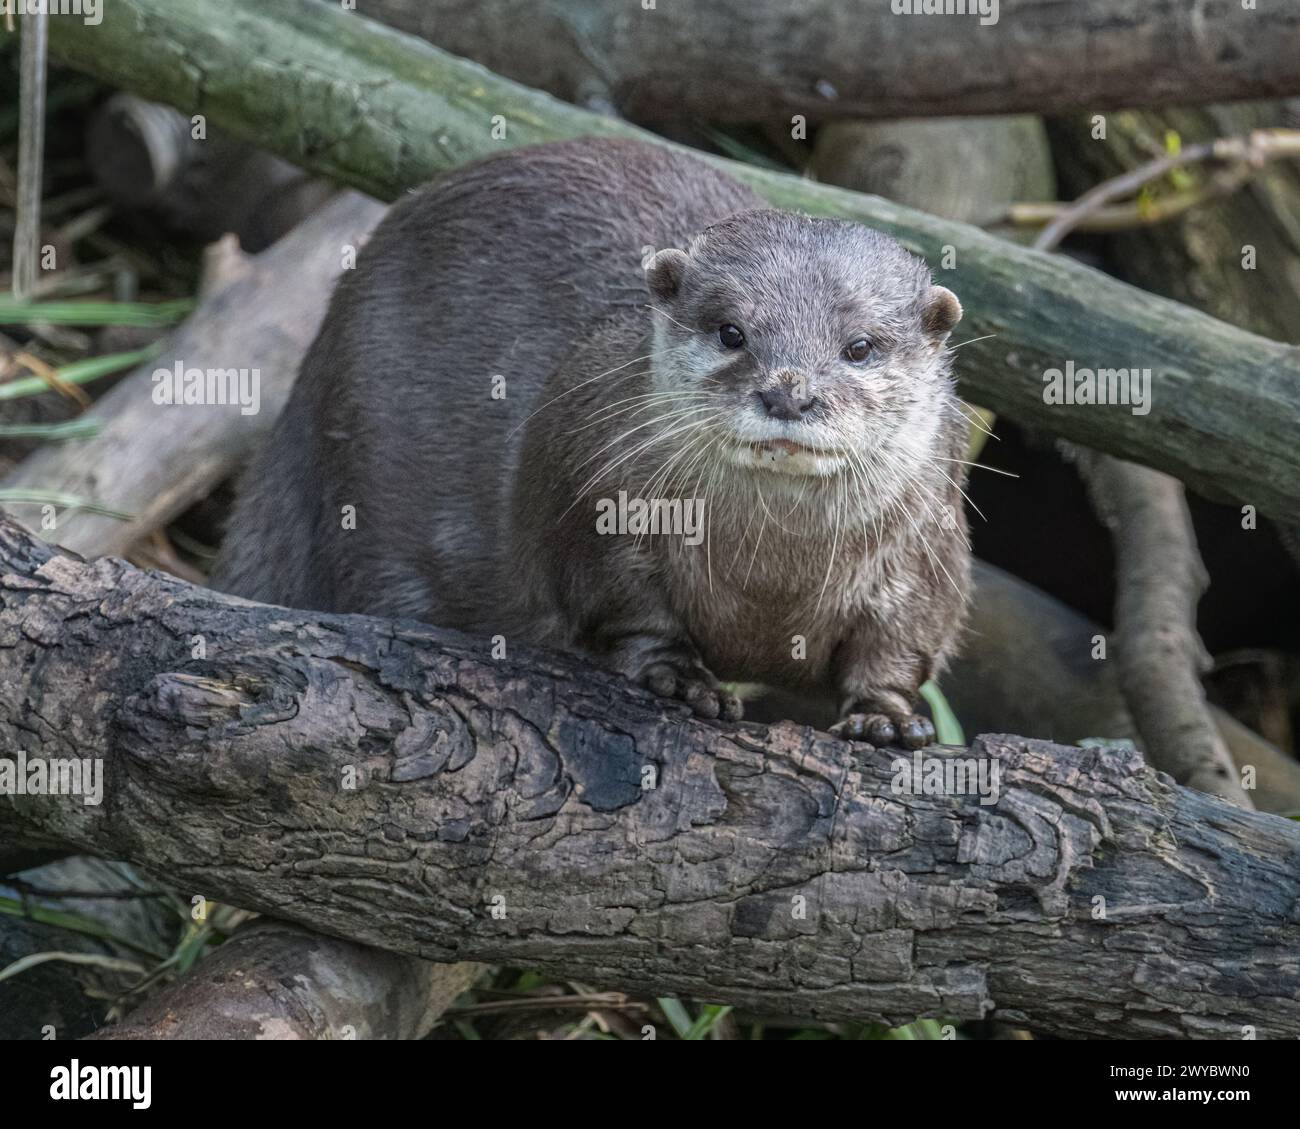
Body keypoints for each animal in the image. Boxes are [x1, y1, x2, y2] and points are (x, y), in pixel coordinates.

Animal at [213, 138, 970, 748]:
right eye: (731, 332)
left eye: (859, 346)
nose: (789, 393)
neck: (770, 575)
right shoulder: (594, 492)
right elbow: (625, 607)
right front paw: (677, 674)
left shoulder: (927, 546)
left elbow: (901, 643)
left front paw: (884, 716)